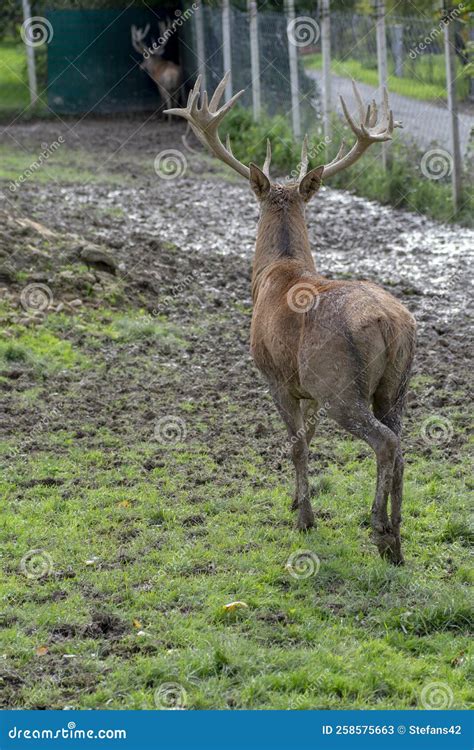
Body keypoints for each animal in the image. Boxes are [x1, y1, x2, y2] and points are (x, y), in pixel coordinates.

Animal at [165, 73, 416, 566]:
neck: (274, 274)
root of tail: (390, 324)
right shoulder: (308, 388)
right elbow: (311, 437)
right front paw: (297, 500)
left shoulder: (276, 375)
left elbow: (296, 442)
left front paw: (303, 518)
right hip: (395, 386)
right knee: (401, 446)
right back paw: (396, 539)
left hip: (341, 385)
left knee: (385, 443)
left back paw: (380, 531)